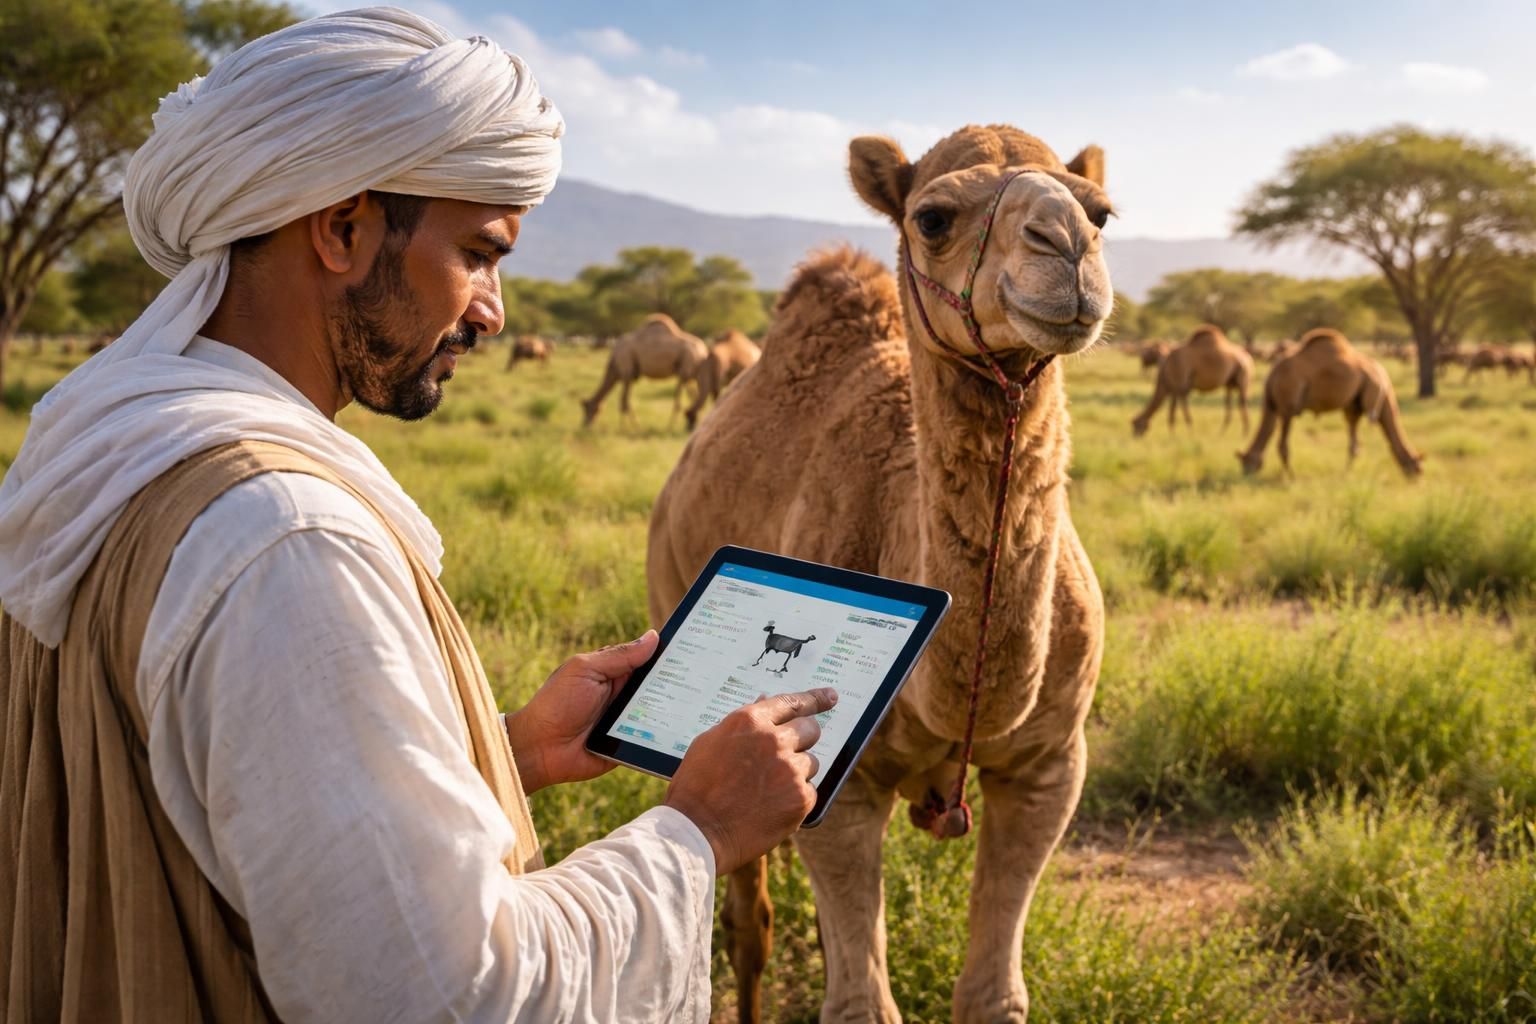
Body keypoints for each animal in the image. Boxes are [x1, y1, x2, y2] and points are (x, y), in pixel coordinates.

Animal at [579, 314, 708, 428]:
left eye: (588, 410)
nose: (585, 425)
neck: (614, 361)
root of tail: (703, 351)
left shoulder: (626, 373)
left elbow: (624, 402)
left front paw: (626, 428)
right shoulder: (629, 376)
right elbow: (626, 401)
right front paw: (632, 426)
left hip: (686, 366)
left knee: (681, 399)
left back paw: (671, 426)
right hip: (691, 373)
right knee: (694, 395)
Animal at [648, 124, 1111, 1023]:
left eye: (1103, 209)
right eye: (933, 218)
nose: (1069, 247)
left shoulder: (1049, 765)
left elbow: (992, 994)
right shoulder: (846, 786)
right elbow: (861, 1004)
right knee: (748, 916)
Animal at [1238, 328, 1423, 478]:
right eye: (1417, 466)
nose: (1417, 476)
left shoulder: (1351, 408)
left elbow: (1354, 446)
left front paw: (1347, 473)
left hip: (1283, 409)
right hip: (1286, 409)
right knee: (1282, 444)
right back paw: (1291, 475)